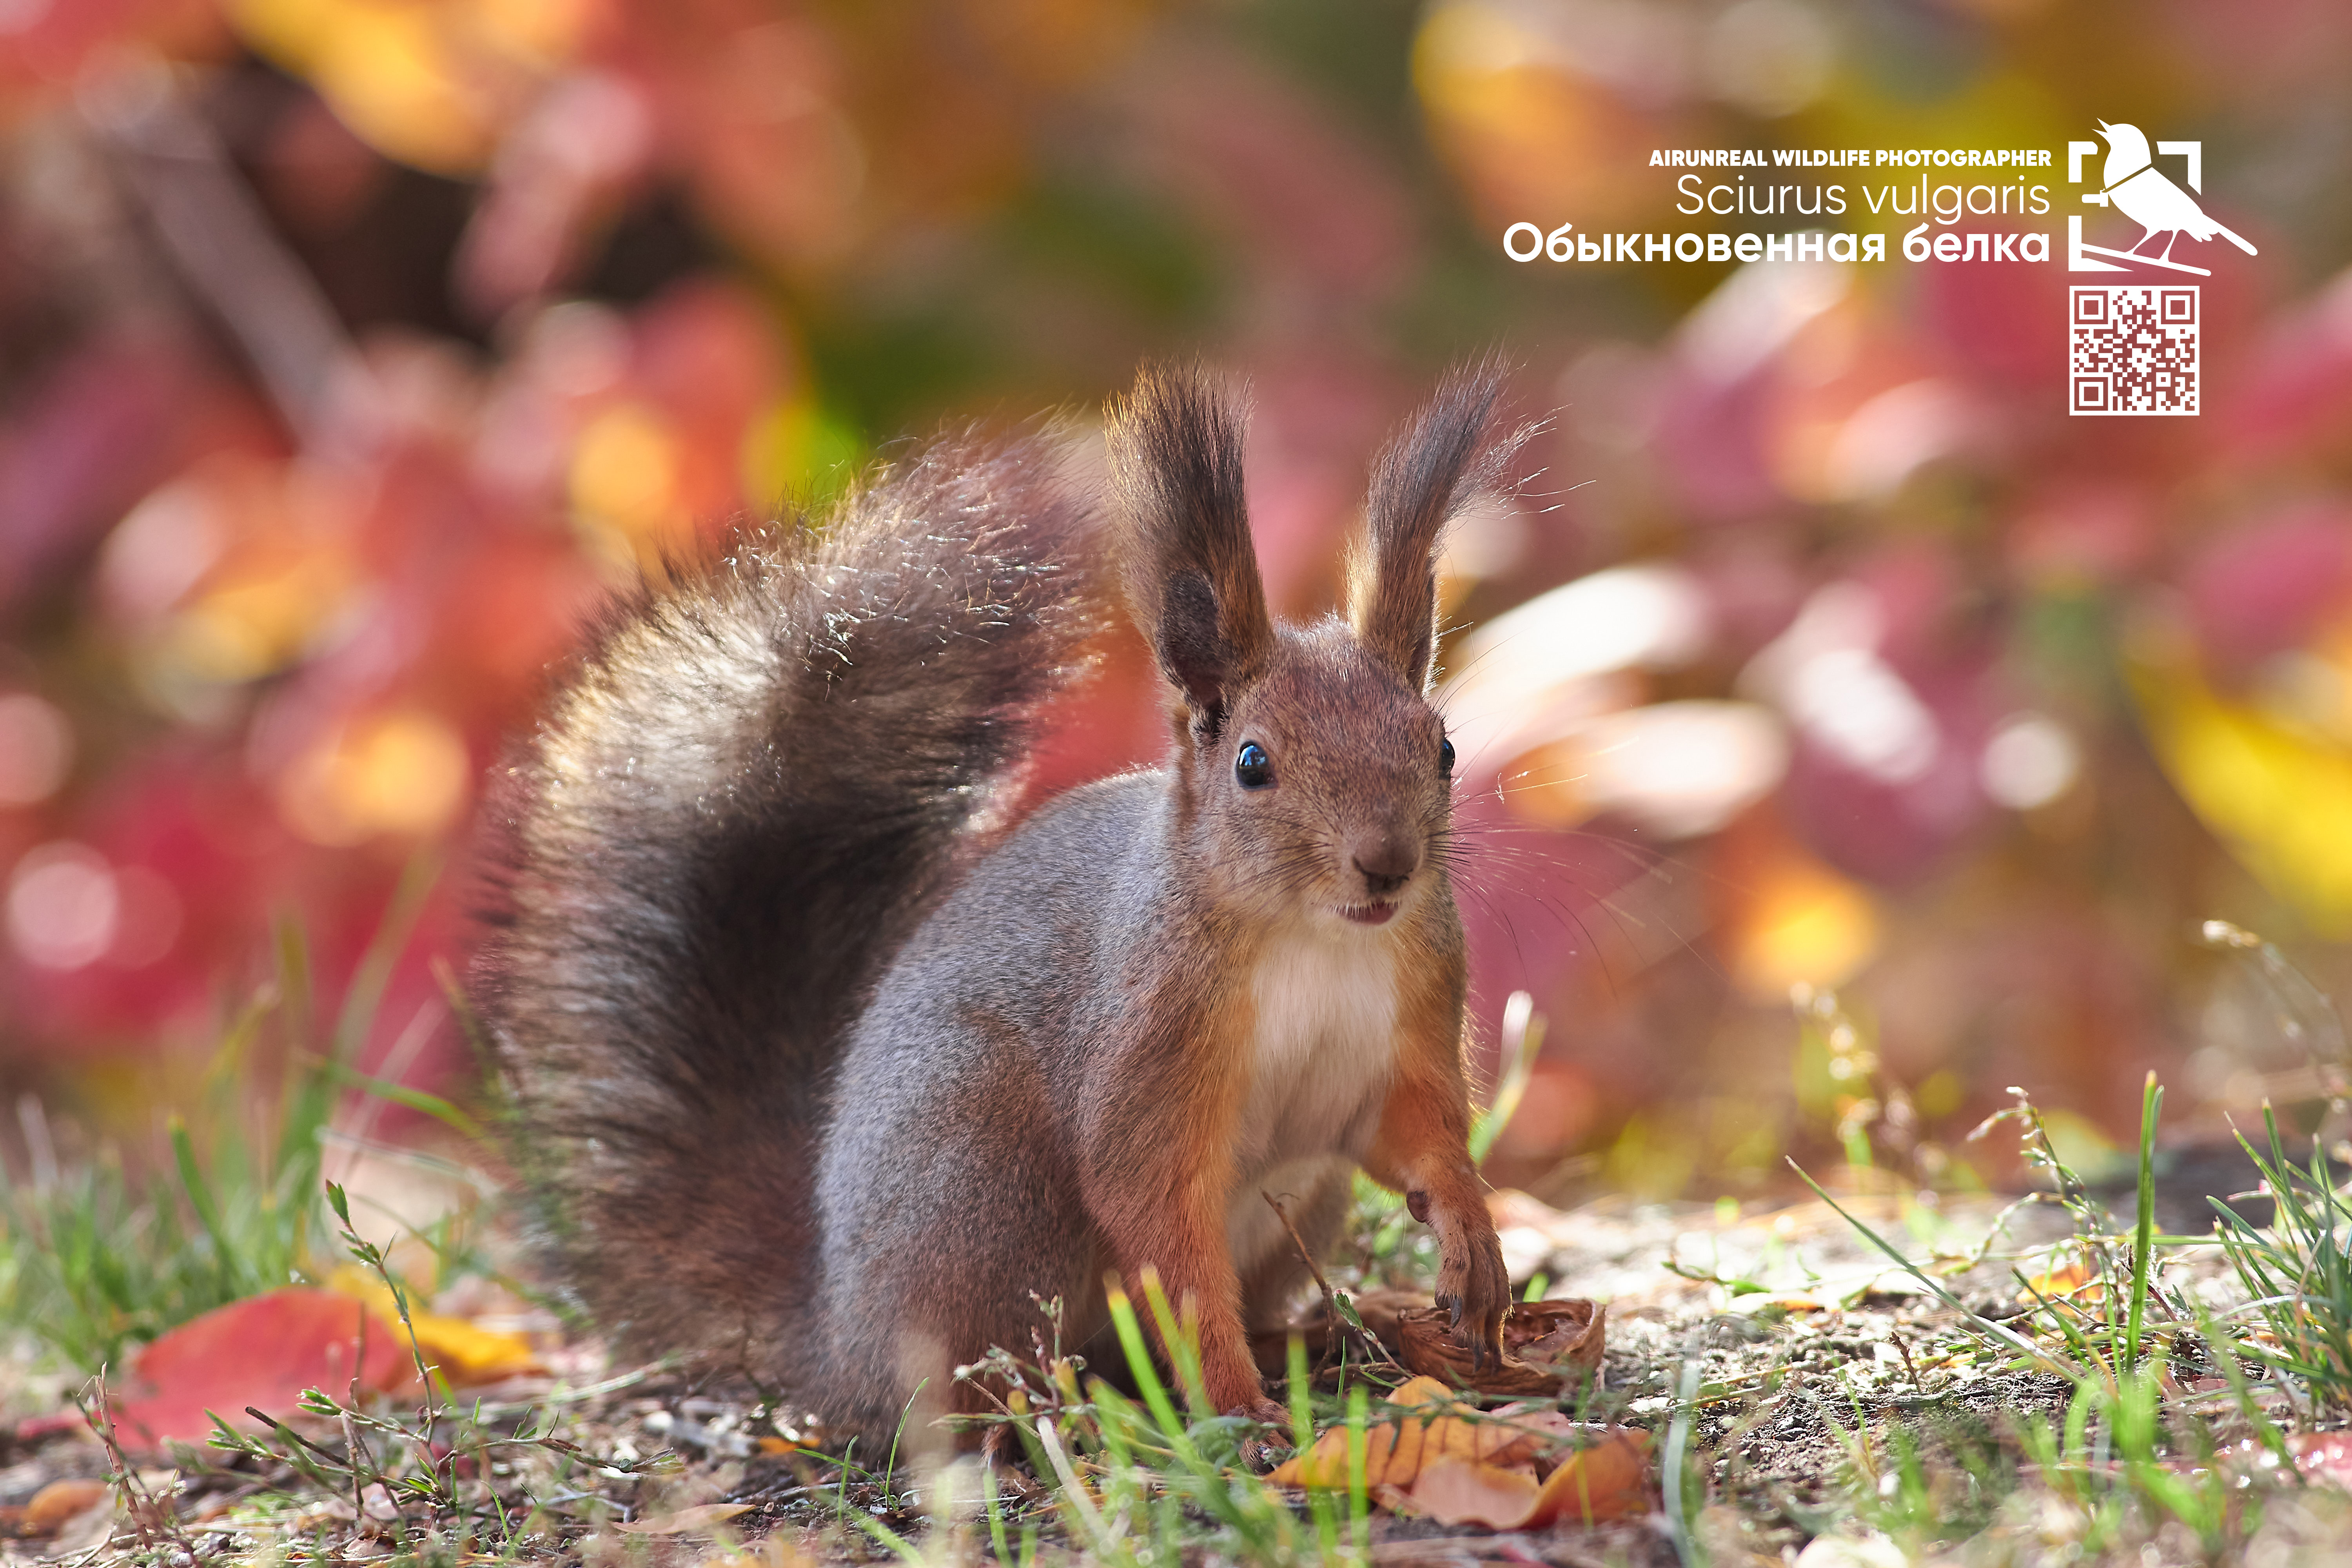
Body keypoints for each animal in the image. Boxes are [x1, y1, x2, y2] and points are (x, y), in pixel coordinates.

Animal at [487, 364, 1534, 1448]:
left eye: (1442, 747)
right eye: (1254, 763)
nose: (1387, 866)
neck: (1312, 937)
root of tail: (836, 1330)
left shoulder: (1411, 1008)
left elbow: (1417, 1136)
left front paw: (1474, 1242)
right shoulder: (1147, 1034)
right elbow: (1156, 1219)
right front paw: (1237, 1405)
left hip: (1295, 1198)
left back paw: (1315, 1335)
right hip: (982, 1181)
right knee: (963, 1382)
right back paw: (1039, 1413)